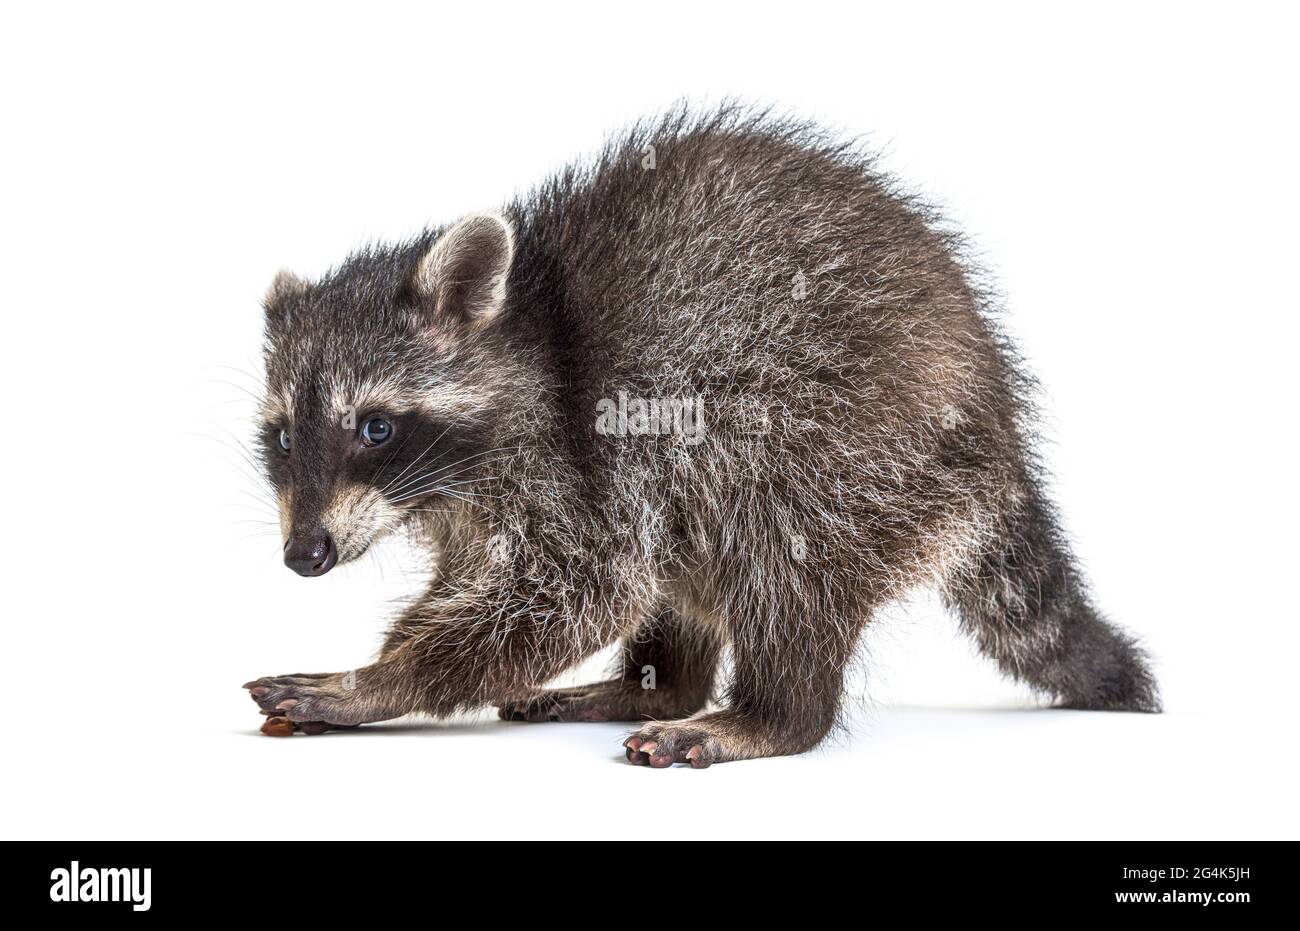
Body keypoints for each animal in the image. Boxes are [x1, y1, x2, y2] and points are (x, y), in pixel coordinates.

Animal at [243, 105, 1159, 767]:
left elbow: (582, 588)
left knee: (781, 545)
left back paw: (771, 715)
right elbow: (511, 581)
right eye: (284, 439)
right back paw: (661, 687)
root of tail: (993, 406)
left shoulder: (574, 459)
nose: (304, 555)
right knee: (690, 552)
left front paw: (383, 676)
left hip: (861, 441)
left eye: (375, 427)